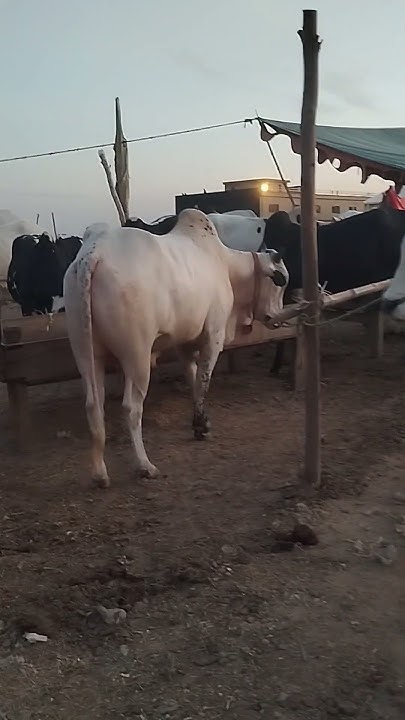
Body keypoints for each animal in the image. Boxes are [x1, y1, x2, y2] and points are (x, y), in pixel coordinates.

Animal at [64, 209, 288, 486]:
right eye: (280, 281)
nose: (276, 318)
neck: (225, 265)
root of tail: (94, 253)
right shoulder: (213, 335)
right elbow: (203, 381)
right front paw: (200, 427)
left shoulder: (184, 343)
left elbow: (193, 380)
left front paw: (201, 422)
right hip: (137, 357)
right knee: (131, 408)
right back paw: (144, 464)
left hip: (86, 352)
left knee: (93, 404)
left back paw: (99, 473)